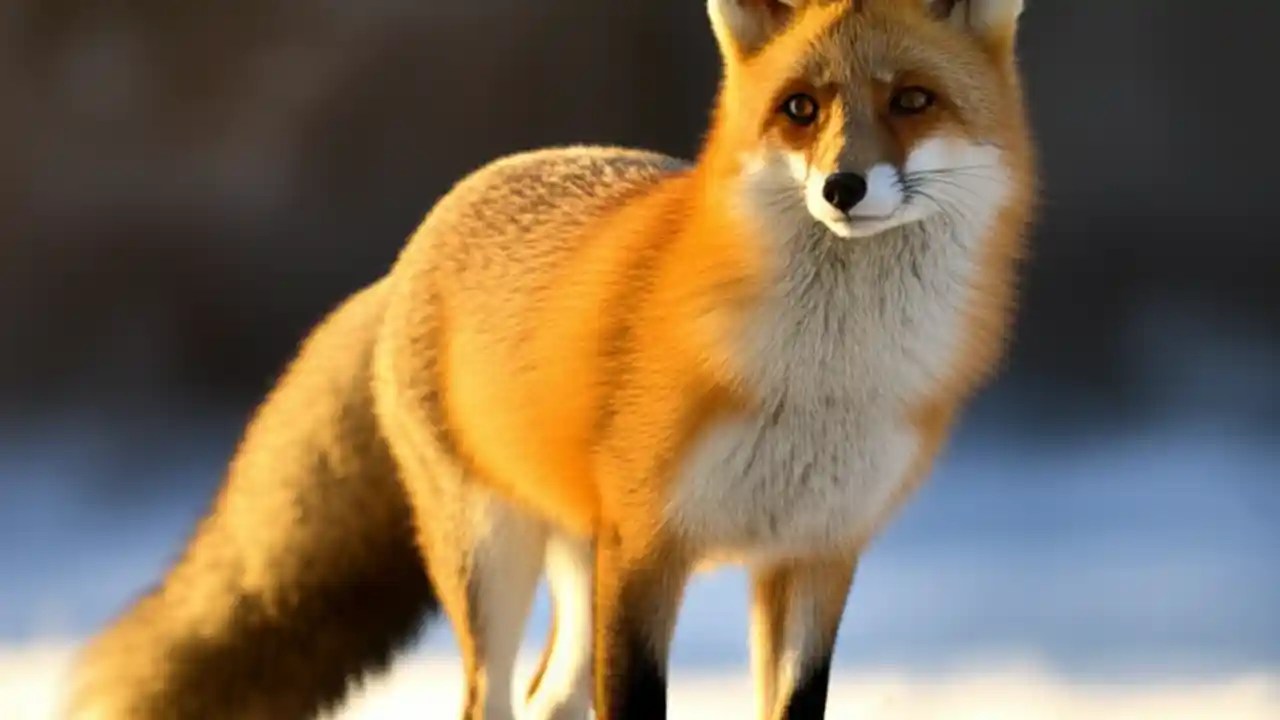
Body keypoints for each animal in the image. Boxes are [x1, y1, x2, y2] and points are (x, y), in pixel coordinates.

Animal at [69, 0, 1035, 718]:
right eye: (801, 108)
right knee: (491, 703)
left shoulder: (817, 555)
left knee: (546, 701)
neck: (823, 384)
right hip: (492, 558)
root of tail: (414, 245)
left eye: (913, 101)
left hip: (574, 561)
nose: (842, 187)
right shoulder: (647, 552)